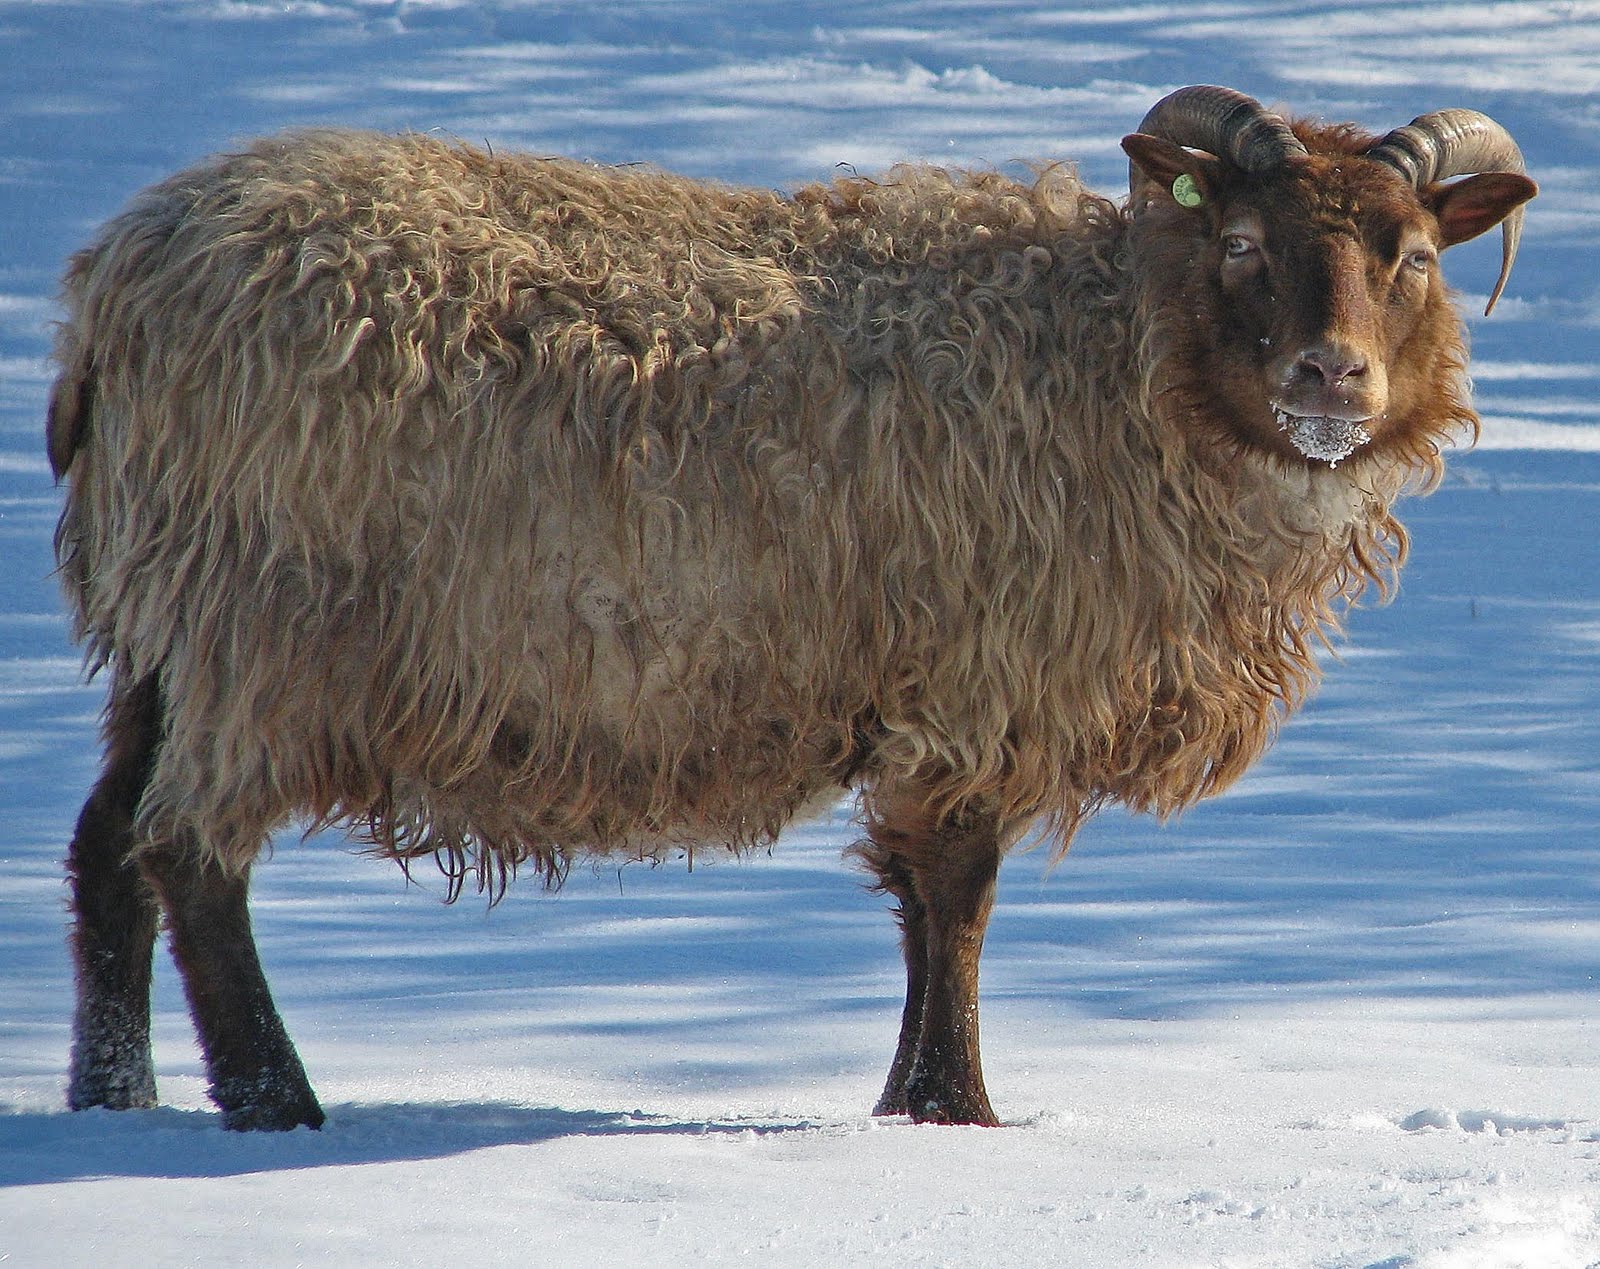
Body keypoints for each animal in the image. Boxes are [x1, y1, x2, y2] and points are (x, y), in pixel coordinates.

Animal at [50, 86, 1536, 1130]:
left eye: (1411, 255)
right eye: (1238, 241)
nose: (1329, 378)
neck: (1122, 363)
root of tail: (119, 284)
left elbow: (935, 898)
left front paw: (922, 1105)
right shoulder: (981, 672)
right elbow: (957, 891)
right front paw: (951, 1108)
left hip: (165, 619)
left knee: (106, 840)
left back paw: (116, 1100)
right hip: (266, 618)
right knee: (190, 850)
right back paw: (273, 1104)